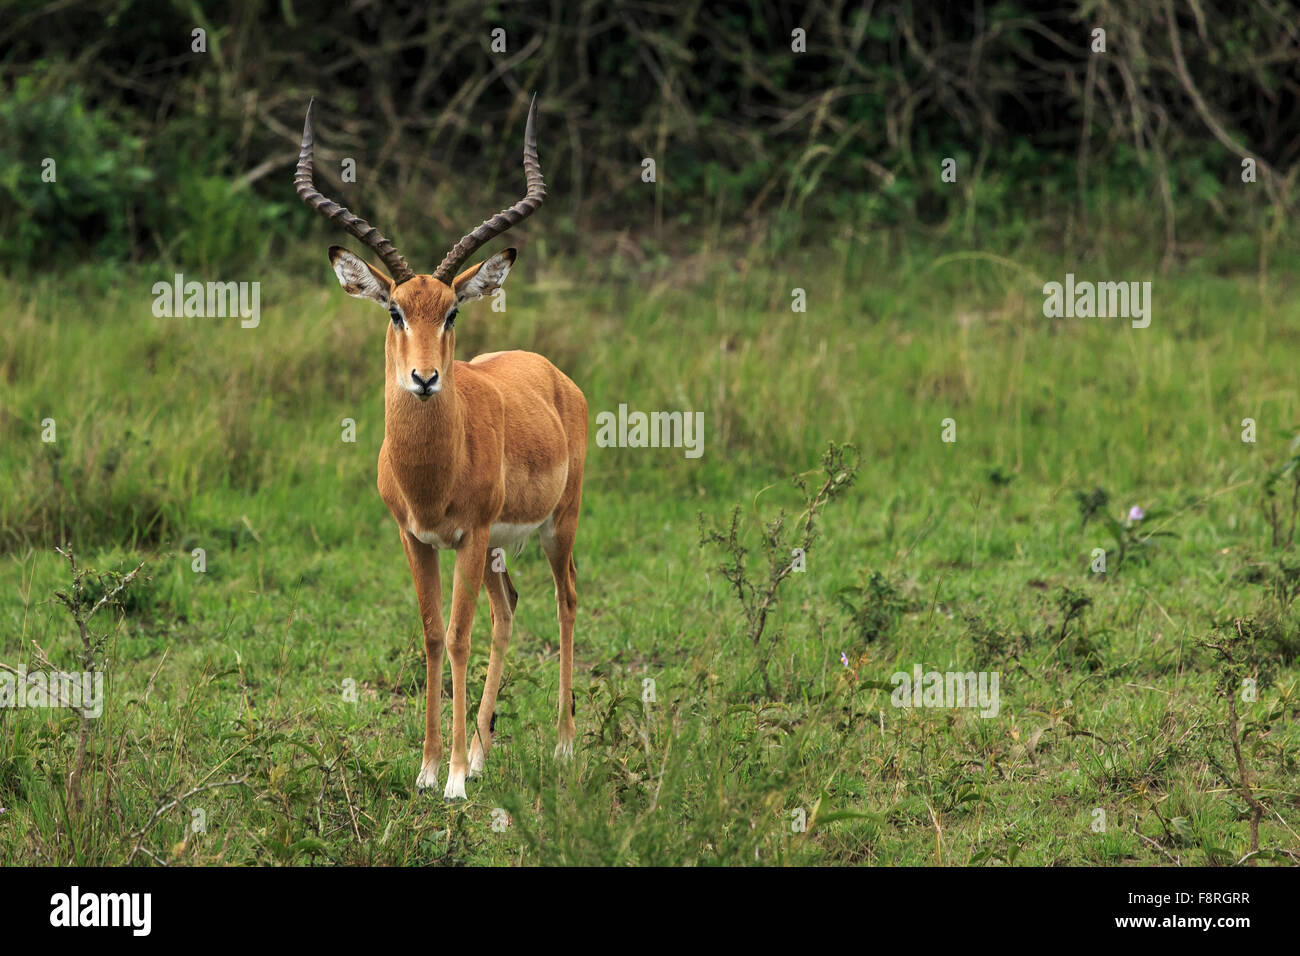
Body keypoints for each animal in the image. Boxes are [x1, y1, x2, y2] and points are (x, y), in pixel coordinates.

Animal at [294, 96, 586, 800]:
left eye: (452, 311)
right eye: (395, 311)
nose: (424, 378)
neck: (431, 472)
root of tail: (555, 376)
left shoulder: (469, 534)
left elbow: (457, 637)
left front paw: (451, 780)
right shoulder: (416, 537)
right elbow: (430, 636)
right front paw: (431, 768)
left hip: (555, 526)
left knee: (564, 600)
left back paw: (562, 746)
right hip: (499, 548)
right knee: (508, 609)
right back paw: (482, 752)